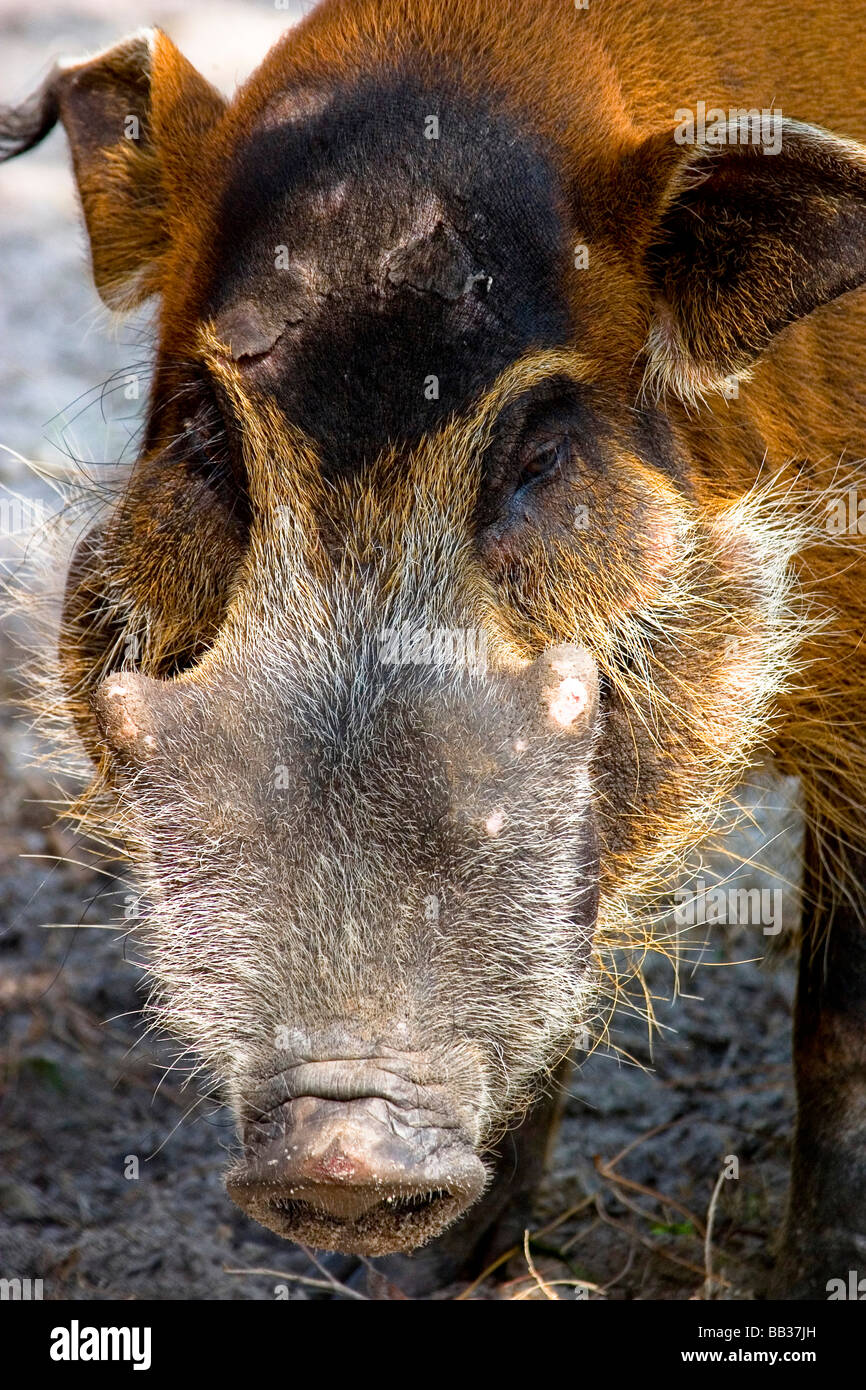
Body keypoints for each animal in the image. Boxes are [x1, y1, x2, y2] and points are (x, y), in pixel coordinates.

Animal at [2, 0, 866, 1297]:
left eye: (538, 454)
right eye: (209, 440)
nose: (339, 1153)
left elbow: (834, 1025)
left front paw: (809, 1278)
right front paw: (438, 1276)